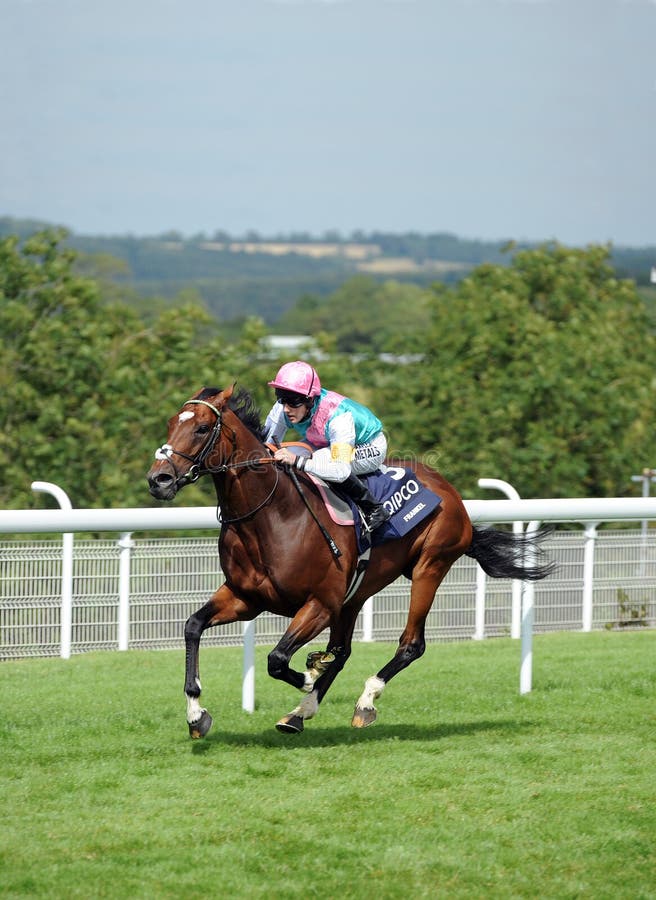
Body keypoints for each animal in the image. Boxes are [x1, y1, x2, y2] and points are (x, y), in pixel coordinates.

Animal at [147, 384, 553, 738]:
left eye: (201, 428)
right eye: (170, 423)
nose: (158, 479)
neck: (271, 516)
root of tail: (451, 494)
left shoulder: (320, 603)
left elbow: (277, 658)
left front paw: (309, 673)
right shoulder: (247, 598)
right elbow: (193, 626)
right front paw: (196, 714)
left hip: (430, 565)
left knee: (411, 644)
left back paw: (364, 702)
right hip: (356, 593)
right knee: (343, 651)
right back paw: (300, 712)